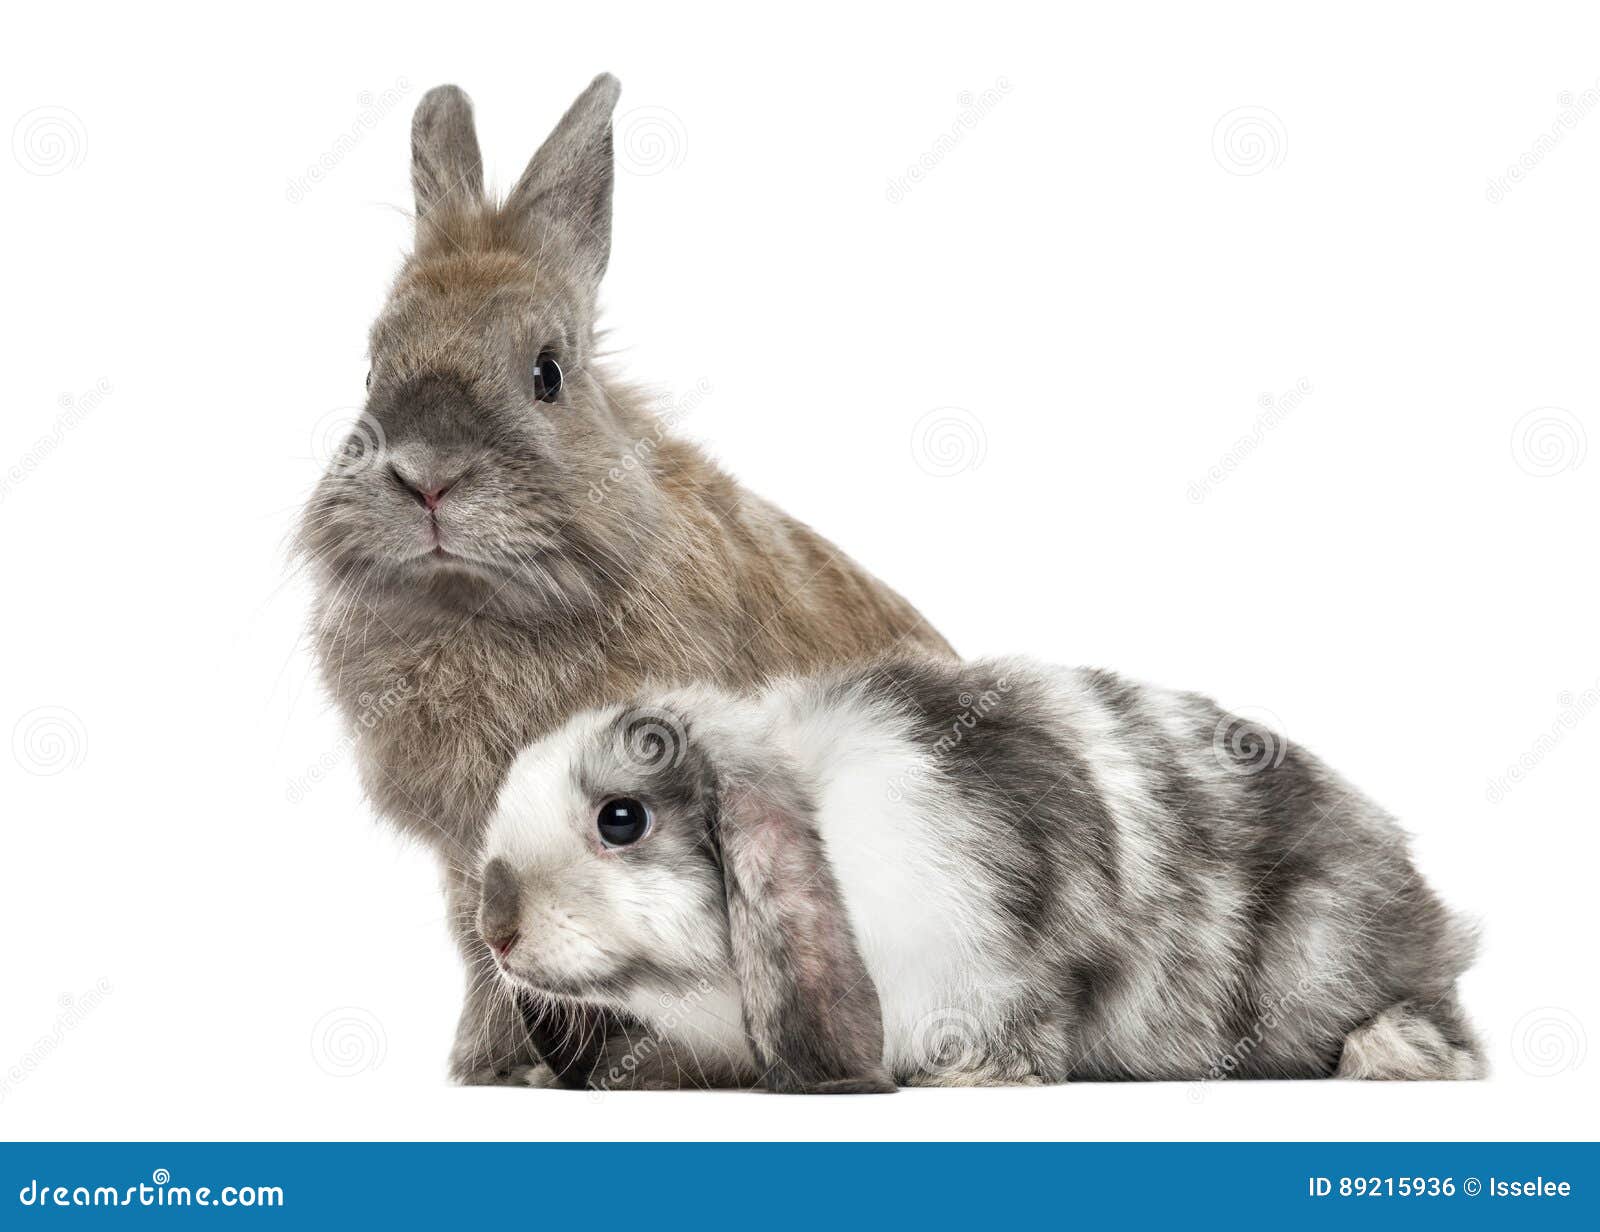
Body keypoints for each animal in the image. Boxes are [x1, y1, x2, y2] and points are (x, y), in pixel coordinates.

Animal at [295, 76, 953, 1088]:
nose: (426, 477)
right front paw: (491, 1066)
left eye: (548, 373)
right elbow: (488, 953)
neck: (481, 602)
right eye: (371, 369)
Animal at [476, 656, 1485, 1091]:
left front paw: (970, 1081)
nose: (495, 927)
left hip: (1328, 958)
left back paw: (1392, 1055)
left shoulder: (1010, 958)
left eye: (621, 819)